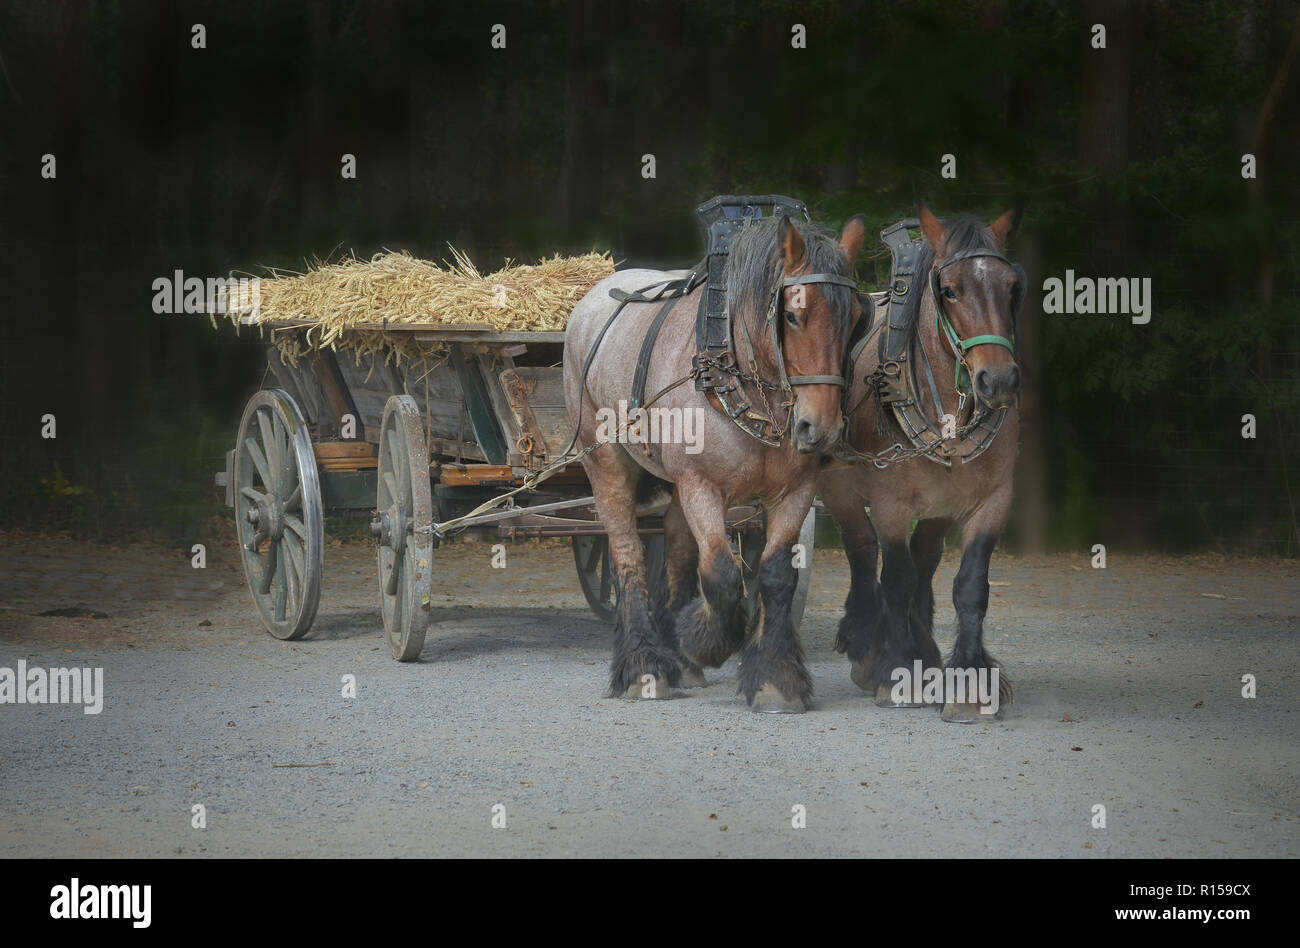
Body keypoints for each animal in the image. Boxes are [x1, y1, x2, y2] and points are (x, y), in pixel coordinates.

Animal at [564, 213, 866, 712]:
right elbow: (723, 576)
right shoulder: (700, 485)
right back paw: (644, 665)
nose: (820, 428)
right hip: (605, 459)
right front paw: (703, 640)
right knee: (627, 552)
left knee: (676, 545)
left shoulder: (796, 491)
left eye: (856, 318)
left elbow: (777, 574)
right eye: (792, 315)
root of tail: (591, 299)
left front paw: (774, 678)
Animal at [818, 203, 1023, 721]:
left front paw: (967, 680)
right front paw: (896, 670)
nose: (998, 381)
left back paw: (925, 649)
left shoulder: (994, 500)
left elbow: (969, 585)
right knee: (862, 550)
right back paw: (867, 645)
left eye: (1012, 286)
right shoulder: (889, 504)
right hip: (840, 490)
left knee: (926, 559)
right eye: (949, 290)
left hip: (939, 506)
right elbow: (896, 576)